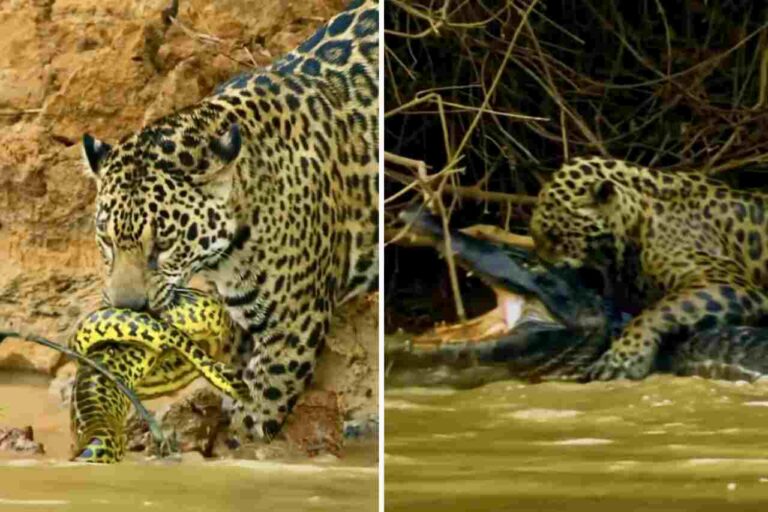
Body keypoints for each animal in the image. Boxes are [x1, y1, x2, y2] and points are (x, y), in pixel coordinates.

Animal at [80, 0, 379, 440]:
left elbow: (256, 411)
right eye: (106, 240)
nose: (126, 308)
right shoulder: (241, 322)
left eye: (163, 245)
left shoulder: (294, 327)